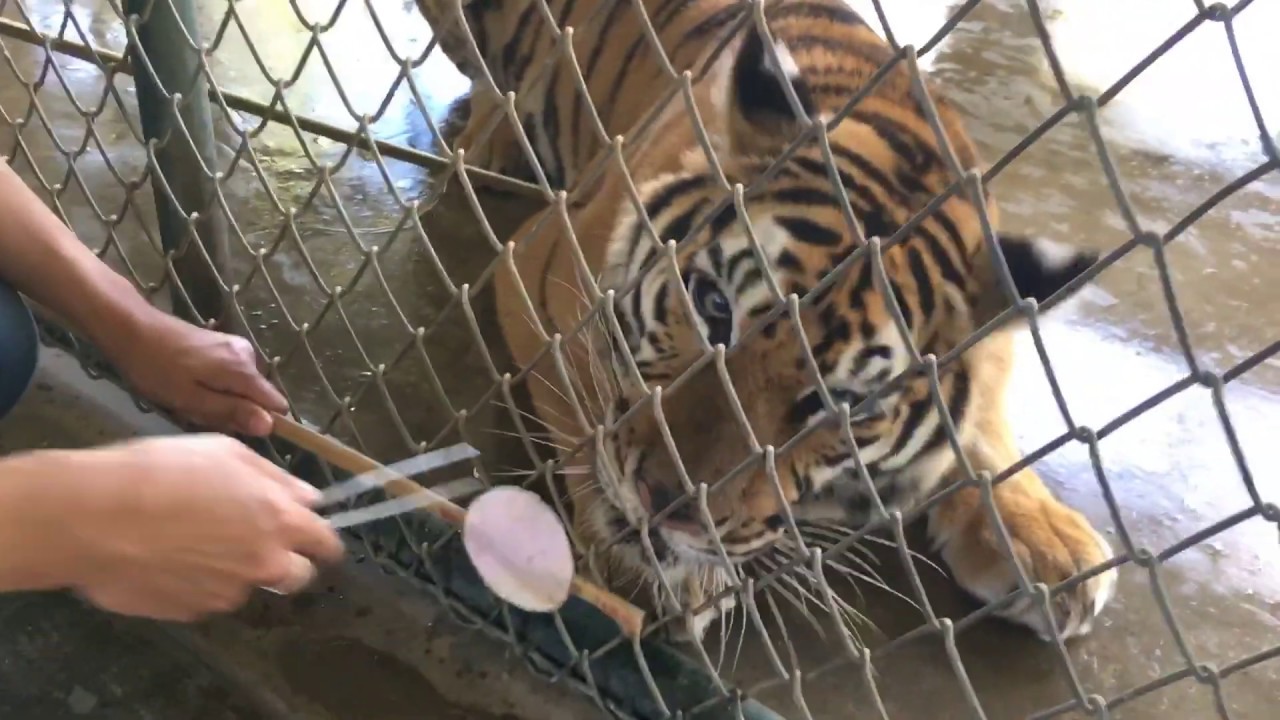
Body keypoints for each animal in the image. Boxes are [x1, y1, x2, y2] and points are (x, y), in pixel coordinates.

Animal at [416, 0, 1119, 644]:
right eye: (714, 306)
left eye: (841, 405)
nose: (663, 502)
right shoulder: (540, 268)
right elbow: (588, 406)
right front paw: (670, 574)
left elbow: (980, 434)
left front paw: (1049, 545)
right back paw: (492, 142)